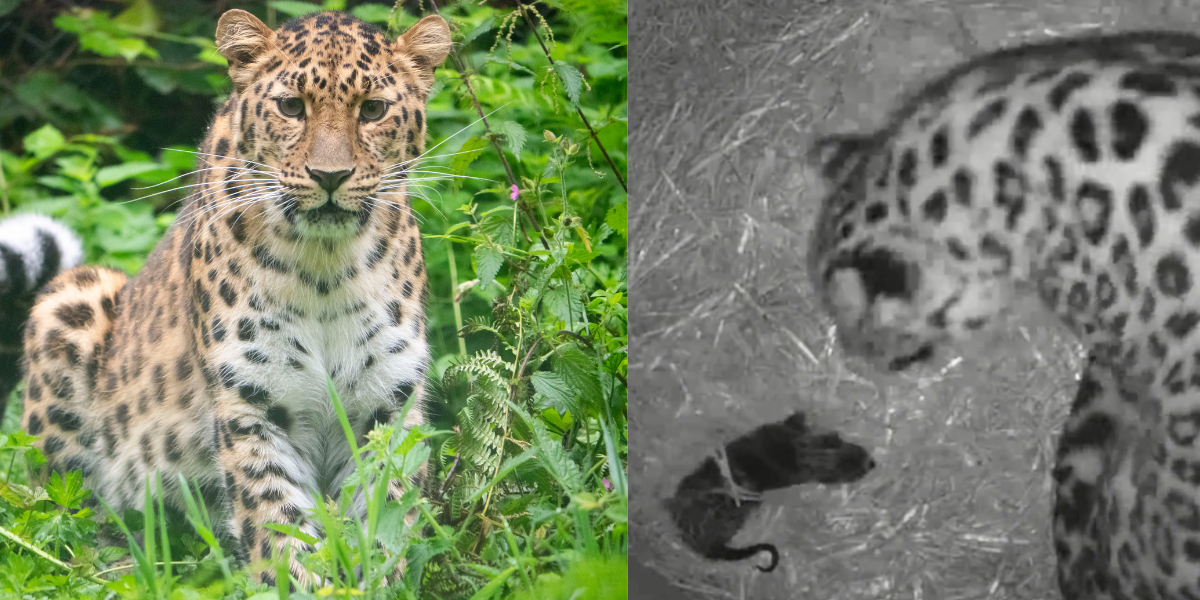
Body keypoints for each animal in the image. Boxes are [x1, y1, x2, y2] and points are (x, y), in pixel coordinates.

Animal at [17, 9, 451, 588]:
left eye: (373, 109)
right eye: (292, 106)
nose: (330, 176)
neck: (326, 270)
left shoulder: (386, 404)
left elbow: (385, 518)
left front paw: (380, 581)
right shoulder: (252, 404)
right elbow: (278, 527)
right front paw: (302, 585)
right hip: (71, 299)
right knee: (69, 519)